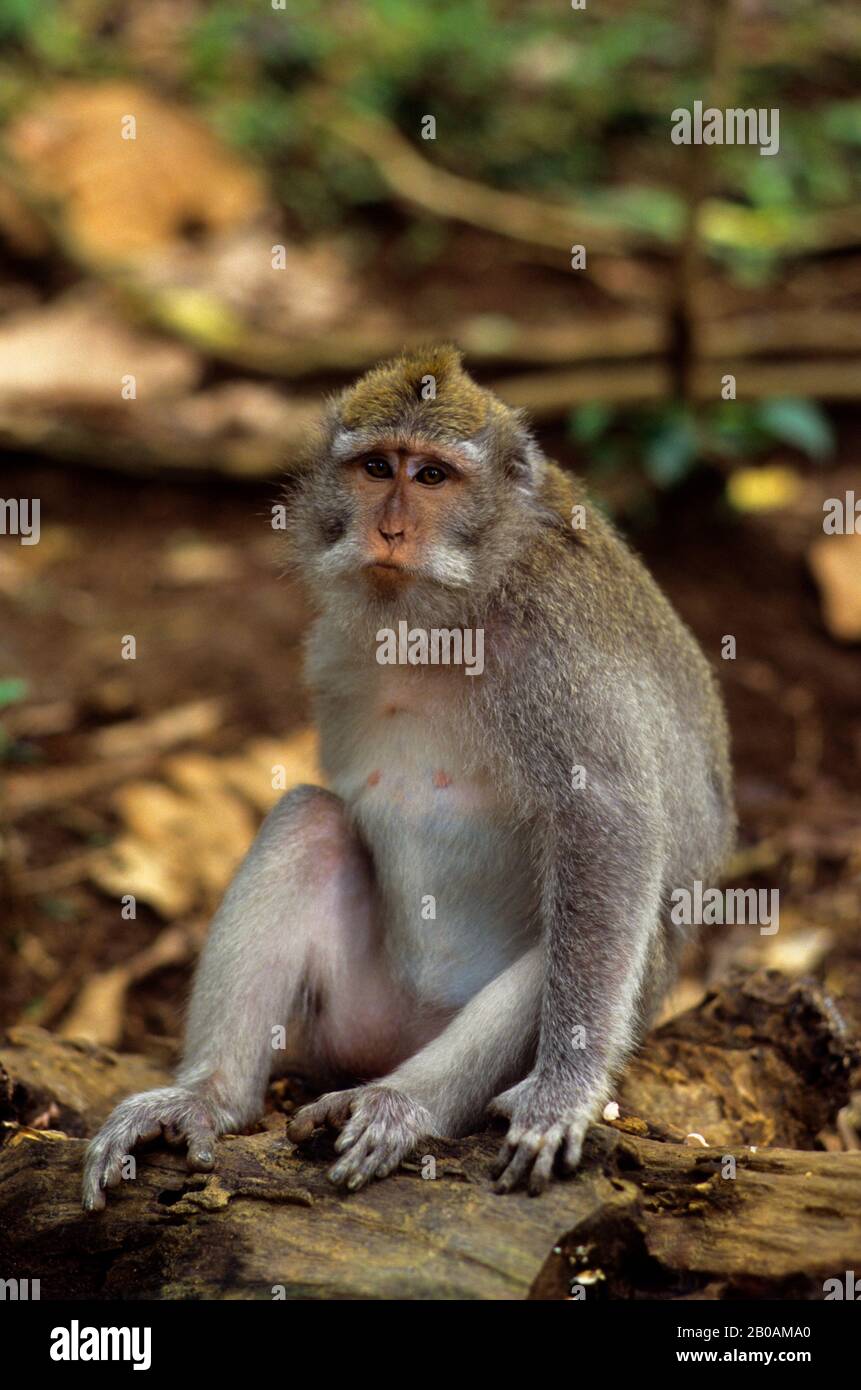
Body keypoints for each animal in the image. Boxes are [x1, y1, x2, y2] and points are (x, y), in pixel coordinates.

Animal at [82, 344, 734, 1209]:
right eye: (376, 468)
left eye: (431, 477)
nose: (389, 528)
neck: (452, 609)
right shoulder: (332, 646)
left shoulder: (555, 655)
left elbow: (608, 823)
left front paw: (562, 1093)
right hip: (354, 1016)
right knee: (309, 820)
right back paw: (208, 1099)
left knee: (596, 936)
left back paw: (402, 1103)